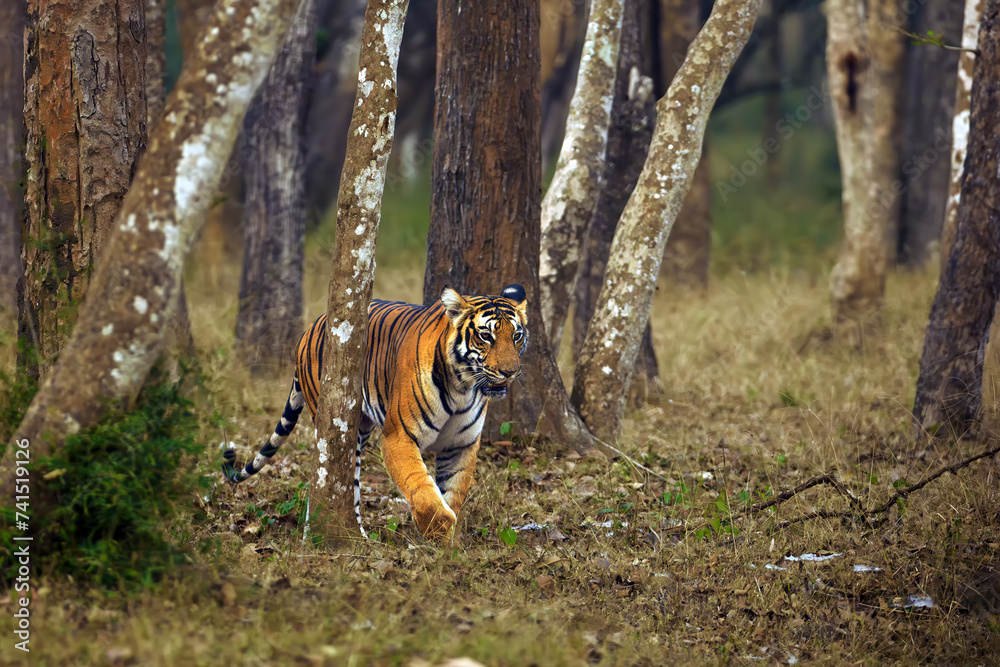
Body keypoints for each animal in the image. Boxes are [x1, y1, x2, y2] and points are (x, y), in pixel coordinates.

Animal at [222, 283, 529, 542]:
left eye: (516, 336)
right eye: (486, 336)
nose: (511, 372)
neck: (462, 388)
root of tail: (314, 324)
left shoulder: (462, 444)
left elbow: (453, 491)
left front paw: (446, 546)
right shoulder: (398, 436)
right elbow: (422, 489)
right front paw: (438, 530)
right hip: (341, 425)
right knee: (337, 480)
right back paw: (351, 536)